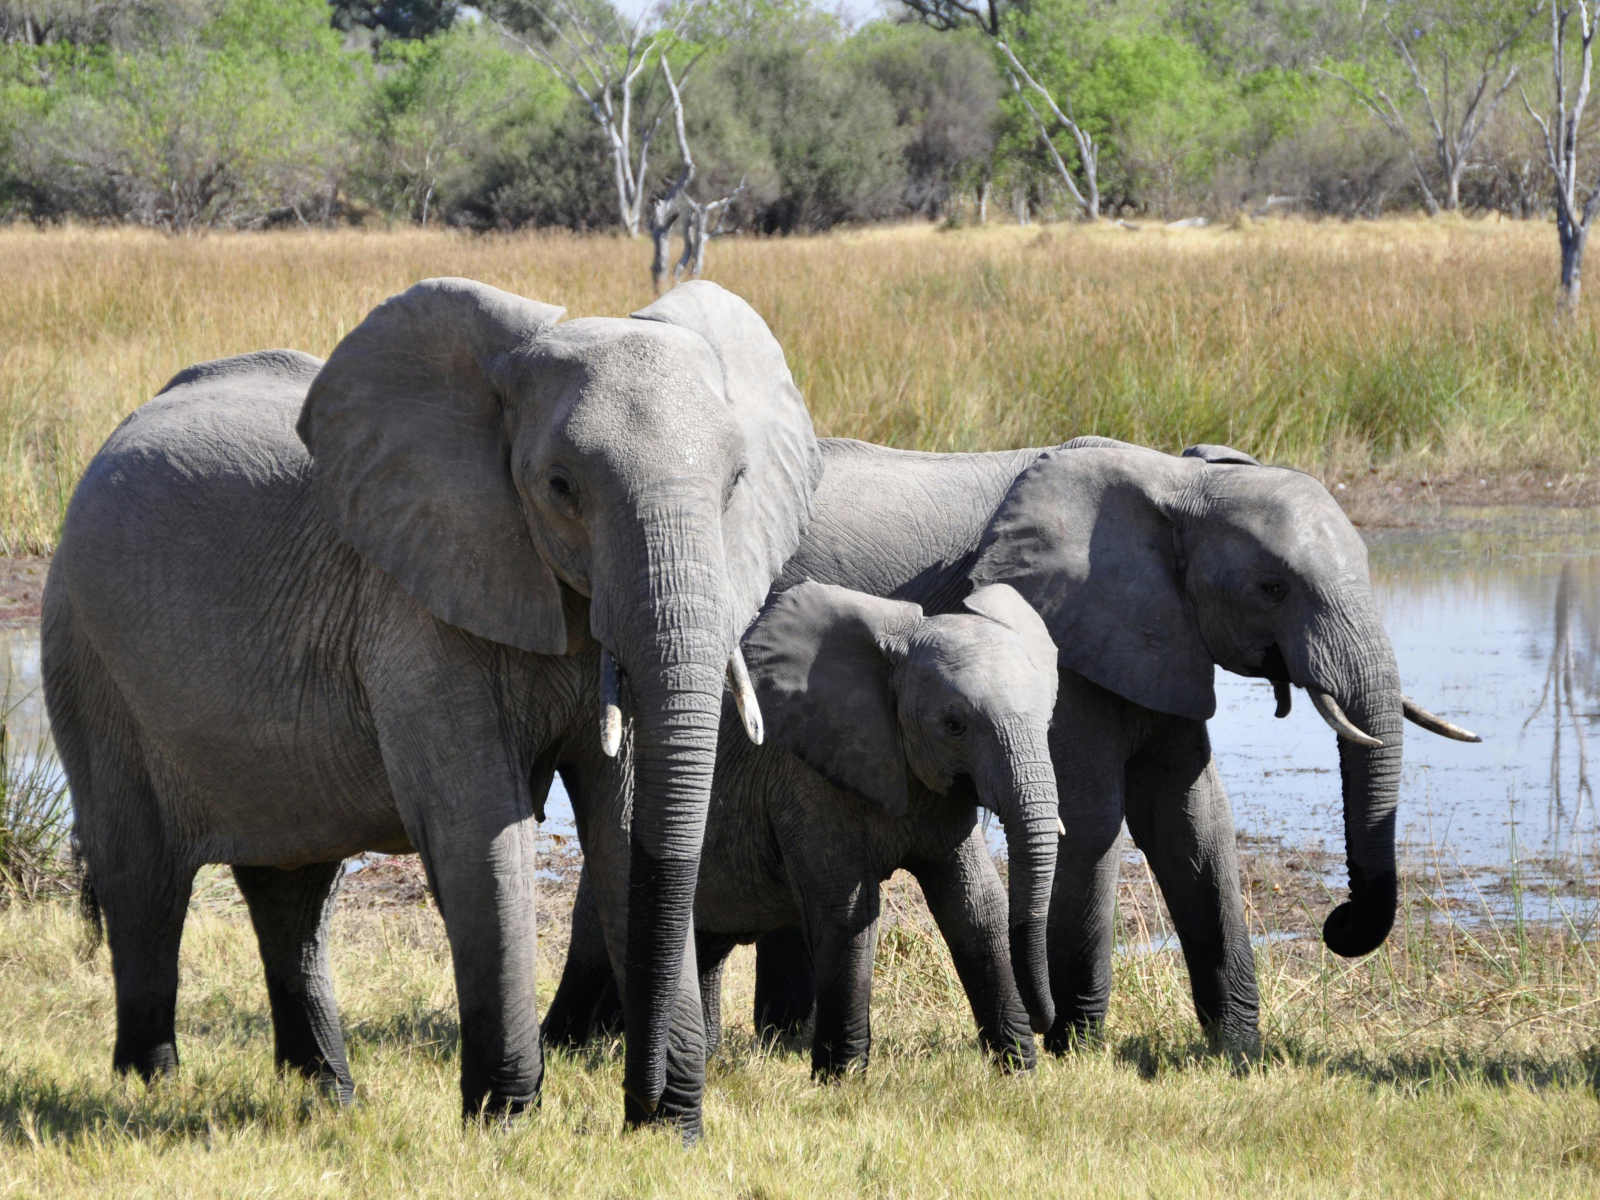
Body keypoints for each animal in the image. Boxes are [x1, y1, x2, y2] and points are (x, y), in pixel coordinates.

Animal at [42, 277, 819, 1137]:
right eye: (560, 487)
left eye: (737, 482)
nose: (645, 1101)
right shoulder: (414, 606)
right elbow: (479, 830)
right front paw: (504, 1122)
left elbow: (622, 828)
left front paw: (668, 1133)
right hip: (85, 650)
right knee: (143, 878)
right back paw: (149, 1088)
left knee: (293, 889)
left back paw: (328, 1096)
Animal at [543, 578, 1063, 1075]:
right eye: (954, 725)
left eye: (1048, 718)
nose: (1046, 1021)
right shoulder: (803, 779)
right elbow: (847, 912)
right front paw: (841, 1078)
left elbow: (975, 907)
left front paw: (1019, 1071)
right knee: (595, 941)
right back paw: (563, 1049)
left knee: (706, 944)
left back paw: (697, 1054)